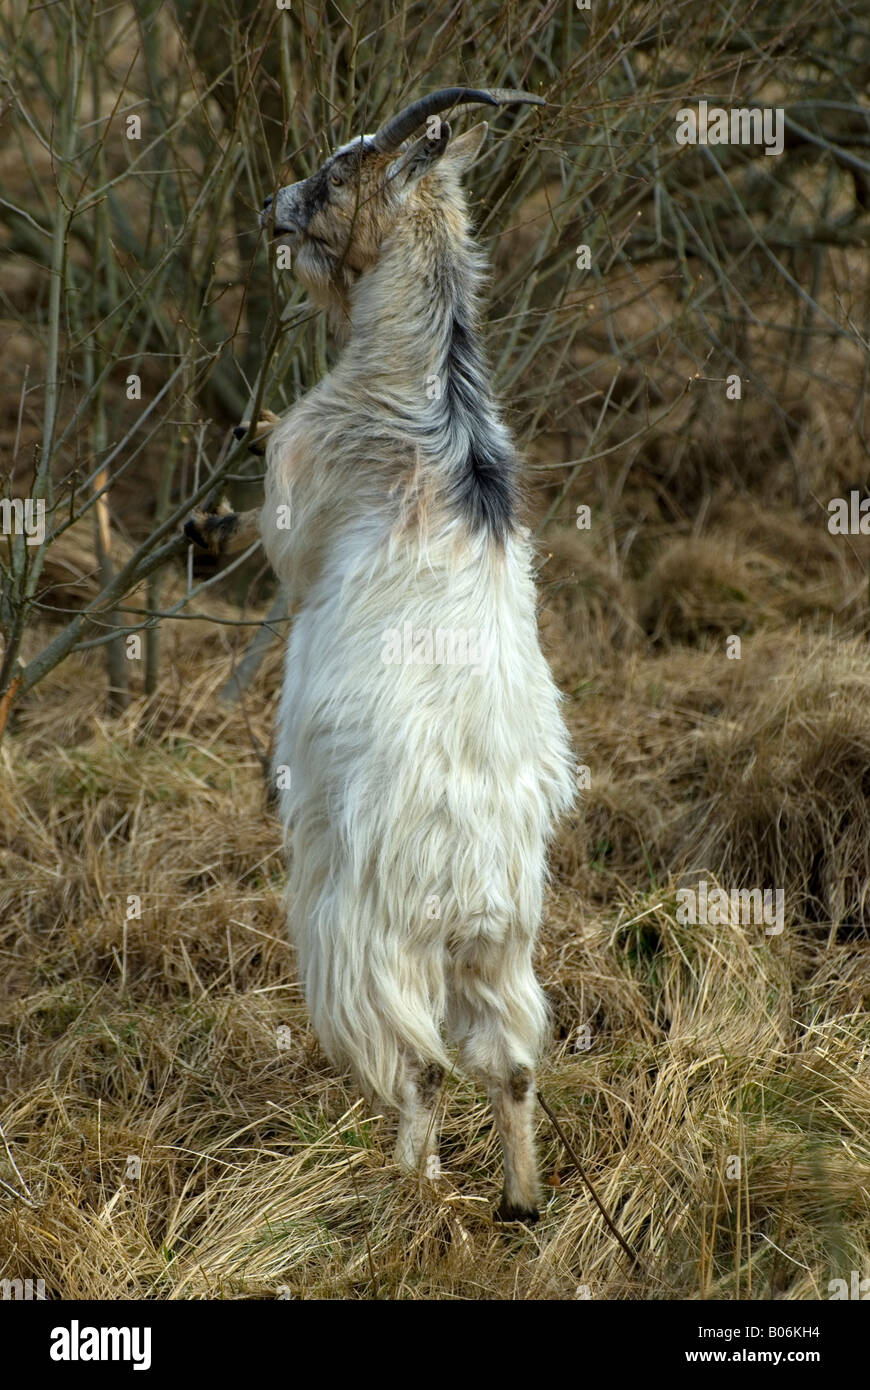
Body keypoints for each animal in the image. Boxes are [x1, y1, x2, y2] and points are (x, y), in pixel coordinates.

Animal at [188, 88, 575, 1222]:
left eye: (338, 170)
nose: (272, 209)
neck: (434, 381)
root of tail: (476, 873)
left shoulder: (302, 487)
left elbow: (275, 532)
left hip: (362, 935)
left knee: (420, 1067)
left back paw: (408, 1194)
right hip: (506, 950)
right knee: (514, 1064)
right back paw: (519, 1201)